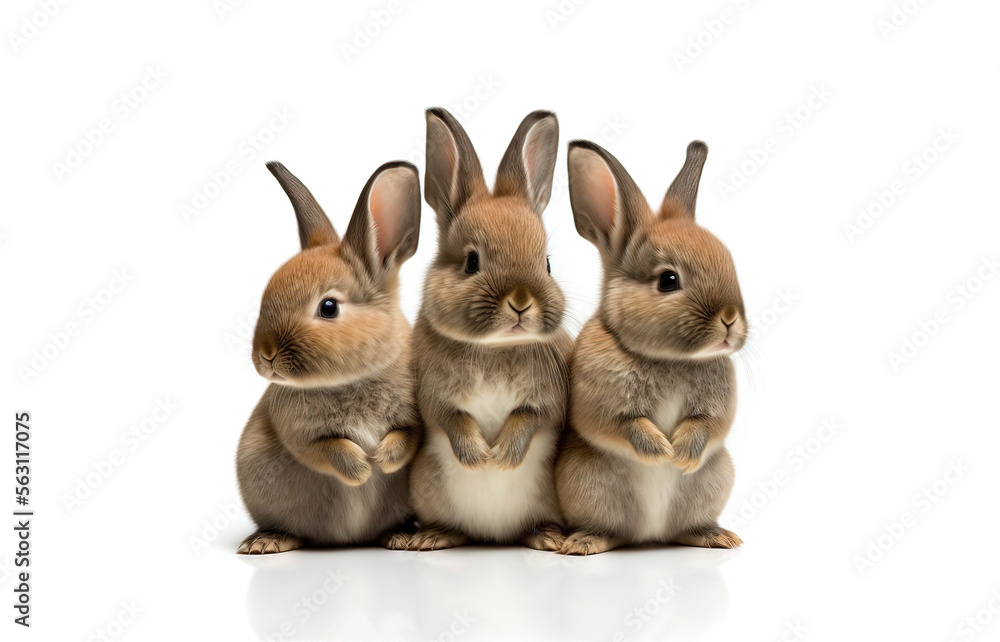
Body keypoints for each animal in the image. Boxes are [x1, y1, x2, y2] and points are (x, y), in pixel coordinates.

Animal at [236, 159, 422, 554]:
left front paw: (381, 459)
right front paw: (363, 468)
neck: (354, 378)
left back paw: (400, 536)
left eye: (329, 307)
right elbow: (326, 450)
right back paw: (267, 541)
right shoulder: (302, 436)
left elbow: (407, 437)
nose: (266, 355)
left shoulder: (413, 421)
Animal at [384, 108, 571, 552]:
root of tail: (494, 536)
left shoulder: (548, 401)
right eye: (472, 262)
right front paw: (478, 457)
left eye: (547, 263)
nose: (521, 301)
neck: (495, 346)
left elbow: (529, 418)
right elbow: (451, 420)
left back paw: (546, 537)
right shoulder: (435, 396)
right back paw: (431, 537)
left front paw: (500, 458)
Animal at [554, 139, 747, 555]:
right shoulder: (603, 406)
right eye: (668, 280)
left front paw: (681, 455)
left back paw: (716, 536)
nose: (729, 319)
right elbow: (622, 425)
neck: (669, 359)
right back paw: (585, 542)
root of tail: (649, 536)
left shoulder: (715, 412)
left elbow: (708, 425)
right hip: (588, 483)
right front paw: (662, 453)